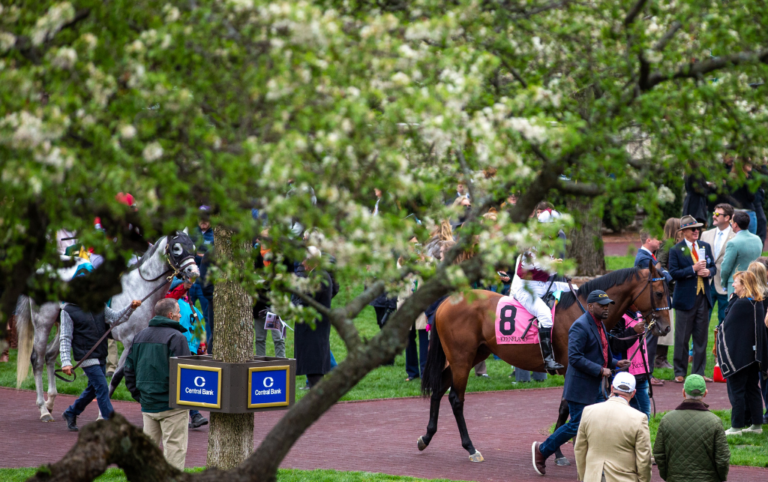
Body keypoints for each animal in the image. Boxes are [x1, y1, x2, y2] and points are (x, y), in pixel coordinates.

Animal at [15, 231, 199, 422]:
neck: (141, 288)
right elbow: (117, 377)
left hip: (65, 324)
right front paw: (102, 415)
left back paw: (50, 402)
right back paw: (43, 409)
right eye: (176, 248)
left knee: (50, 356)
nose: (193, 273)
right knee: (37, 360)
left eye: (193, 247)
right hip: (43, 321)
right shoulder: (129, 342)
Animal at [418, 263, 671, 463]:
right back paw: (470, 448)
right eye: (659, 293)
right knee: (455, 398)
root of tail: (446, 302)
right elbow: (566, 408)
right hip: (462, 358)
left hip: (473, 355)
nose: (666, 327)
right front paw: (557, 452)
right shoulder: (572, 366)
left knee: (438, 389)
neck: (581, 309)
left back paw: (426, 437)